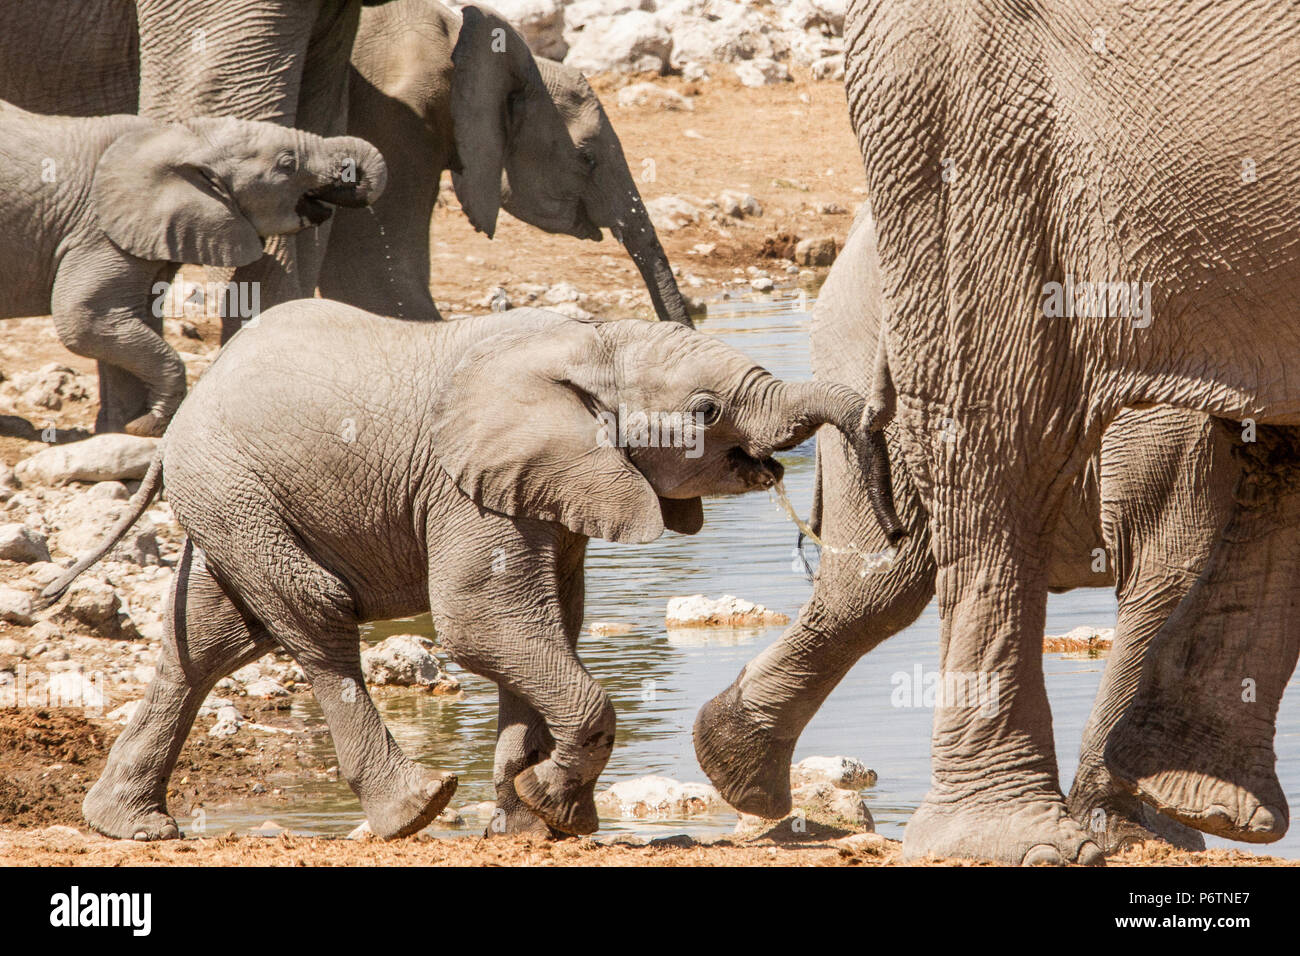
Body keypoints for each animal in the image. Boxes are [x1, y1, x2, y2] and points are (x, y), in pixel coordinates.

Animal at [0, 106, 386, 435]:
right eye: (287, 164)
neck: (180, 136)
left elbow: (128, 318)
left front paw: (126, 430)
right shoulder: (98, 231)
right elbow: (84, 318)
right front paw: (149, 426)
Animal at [38, 301, 904, 841]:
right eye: (705, 411)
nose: (893, 527)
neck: (596, 342)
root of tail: (183, 415)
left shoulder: (551, 485)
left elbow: (551, 623)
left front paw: (528, 820)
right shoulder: (467, 488)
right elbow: (484, 624)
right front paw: (554, 806)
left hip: (230, 502)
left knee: (208, 643)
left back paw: (130, 826)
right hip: (234, 490)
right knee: (314, 617)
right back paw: (415, 809)